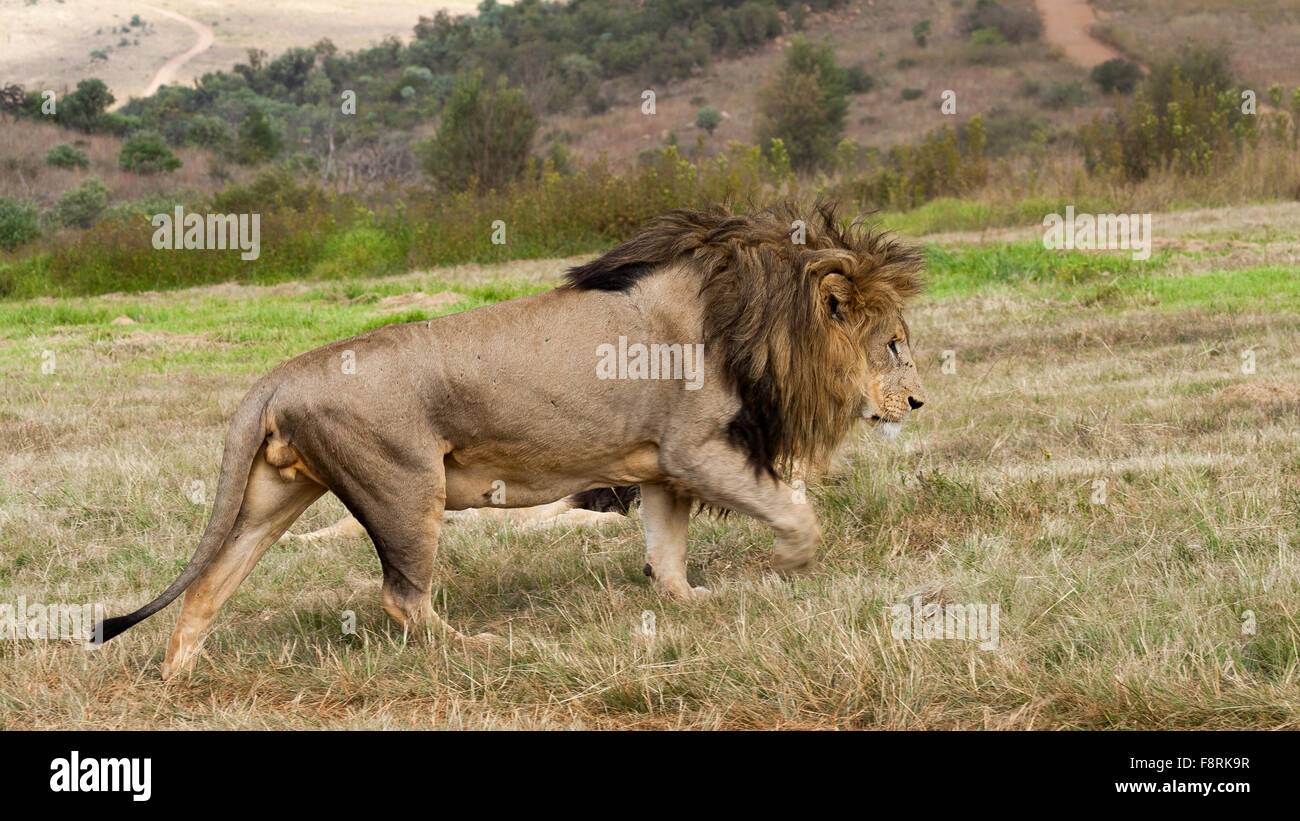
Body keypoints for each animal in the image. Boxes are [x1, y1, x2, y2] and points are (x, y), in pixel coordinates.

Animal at [92, 202, 926, 679]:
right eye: (892, 344)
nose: (918, 399)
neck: (756, 308)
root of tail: (279, 373)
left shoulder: (658, 465)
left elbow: (667, 549)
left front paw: (686, 599)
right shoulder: (695, 448)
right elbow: (794, 510)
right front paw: (788, 566)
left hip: (275, 496)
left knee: (208, 585)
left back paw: (178, 679)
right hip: (407, 490)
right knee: (401, 597)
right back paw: (478, 649)